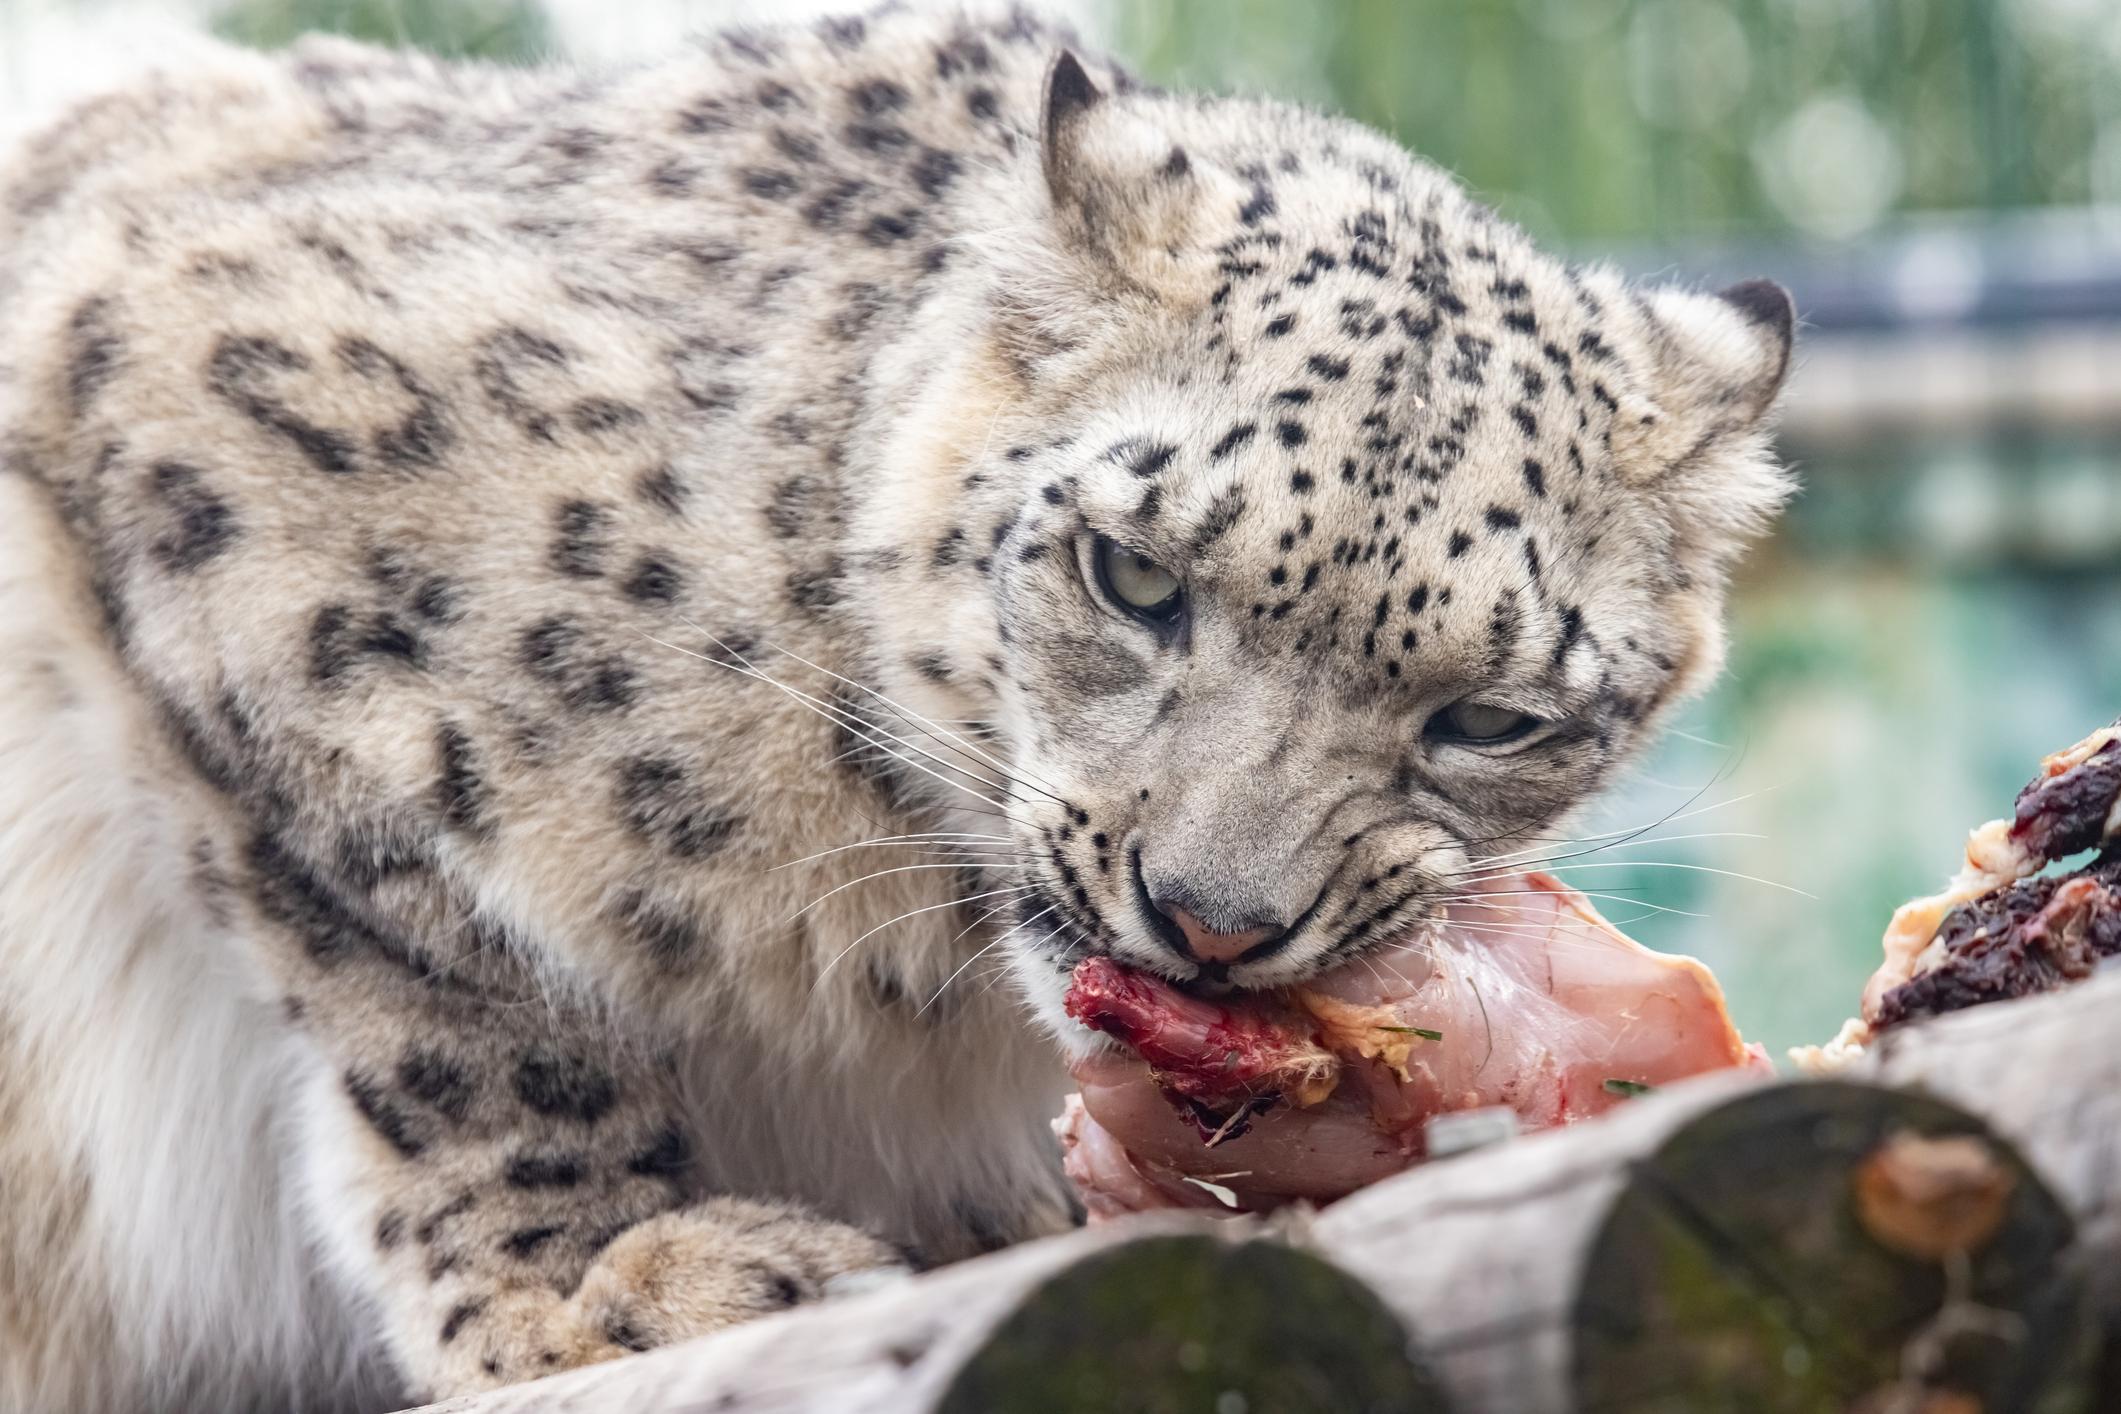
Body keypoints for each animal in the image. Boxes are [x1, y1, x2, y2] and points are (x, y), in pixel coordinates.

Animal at [0, 3, 1794, 1408]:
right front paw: (597, 1286)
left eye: (1487, 718)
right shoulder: (196, 443)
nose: (1211, 918)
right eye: (1132, 574)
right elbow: (455, 1005)